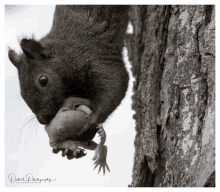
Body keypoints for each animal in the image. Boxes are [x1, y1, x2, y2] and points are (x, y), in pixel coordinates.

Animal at [8, 5, 129, 166]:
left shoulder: (97, 56)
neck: (66, 52)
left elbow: (115, 84)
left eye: (43, 80)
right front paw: (67, 149)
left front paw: (91, 124)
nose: (43, 120)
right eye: (21, 94)